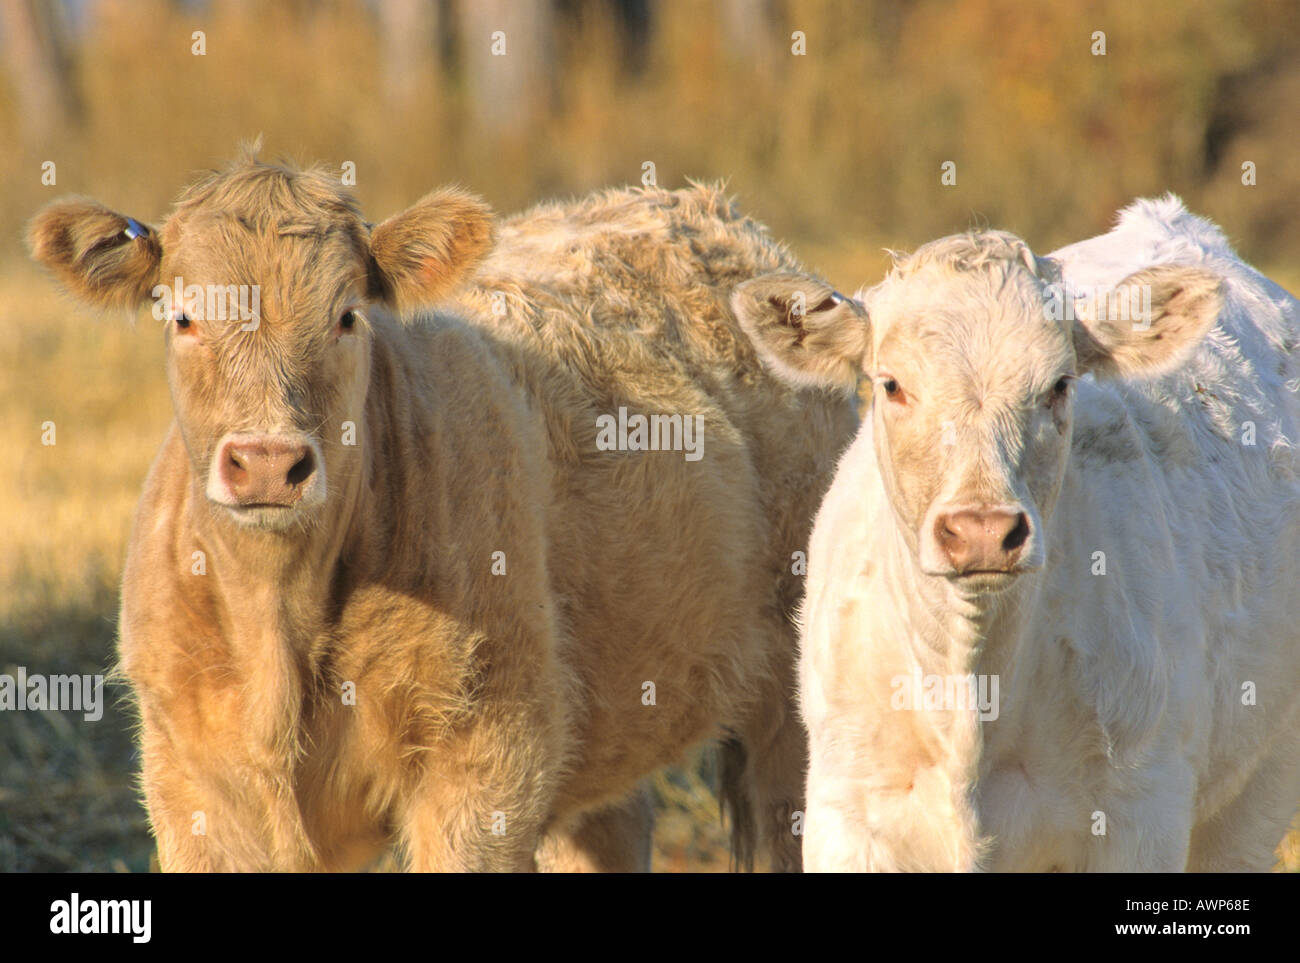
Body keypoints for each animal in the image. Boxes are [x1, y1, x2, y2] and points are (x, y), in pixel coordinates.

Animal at [28, 150, 857, 872]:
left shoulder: (486, 762)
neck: (279, 623)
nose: (267, 460)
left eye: (347, 316)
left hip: (791, 713)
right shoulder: (191, 789)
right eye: (183, 317)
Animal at [732, 195, 1300, 871]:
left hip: (1259, 786)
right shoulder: (845, 811)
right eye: (891, 384)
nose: (981, 531)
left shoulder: (1141, 813)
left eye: (1059, 385)